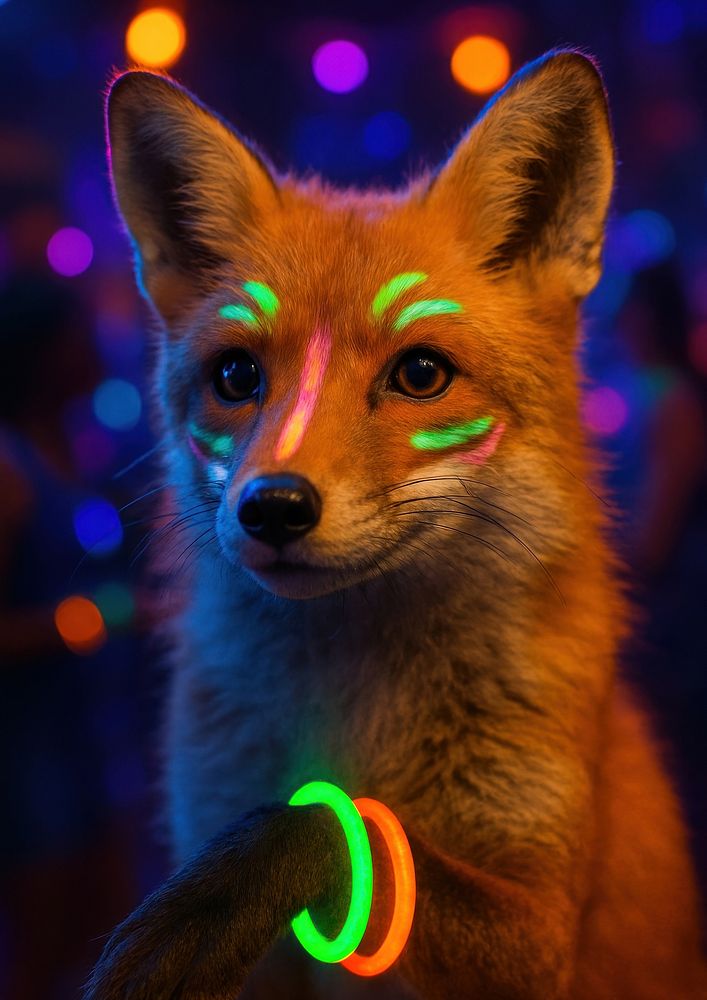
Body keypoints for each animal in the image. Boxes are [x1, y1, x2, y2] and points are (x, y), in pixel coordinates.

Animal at [85, 49, 707, 999]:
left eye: (420, 373)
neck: (356, 701)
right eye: (236, 376)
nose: (272, 506)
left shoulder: (543, 932)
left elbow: (326, 826)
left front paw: (193, 919)